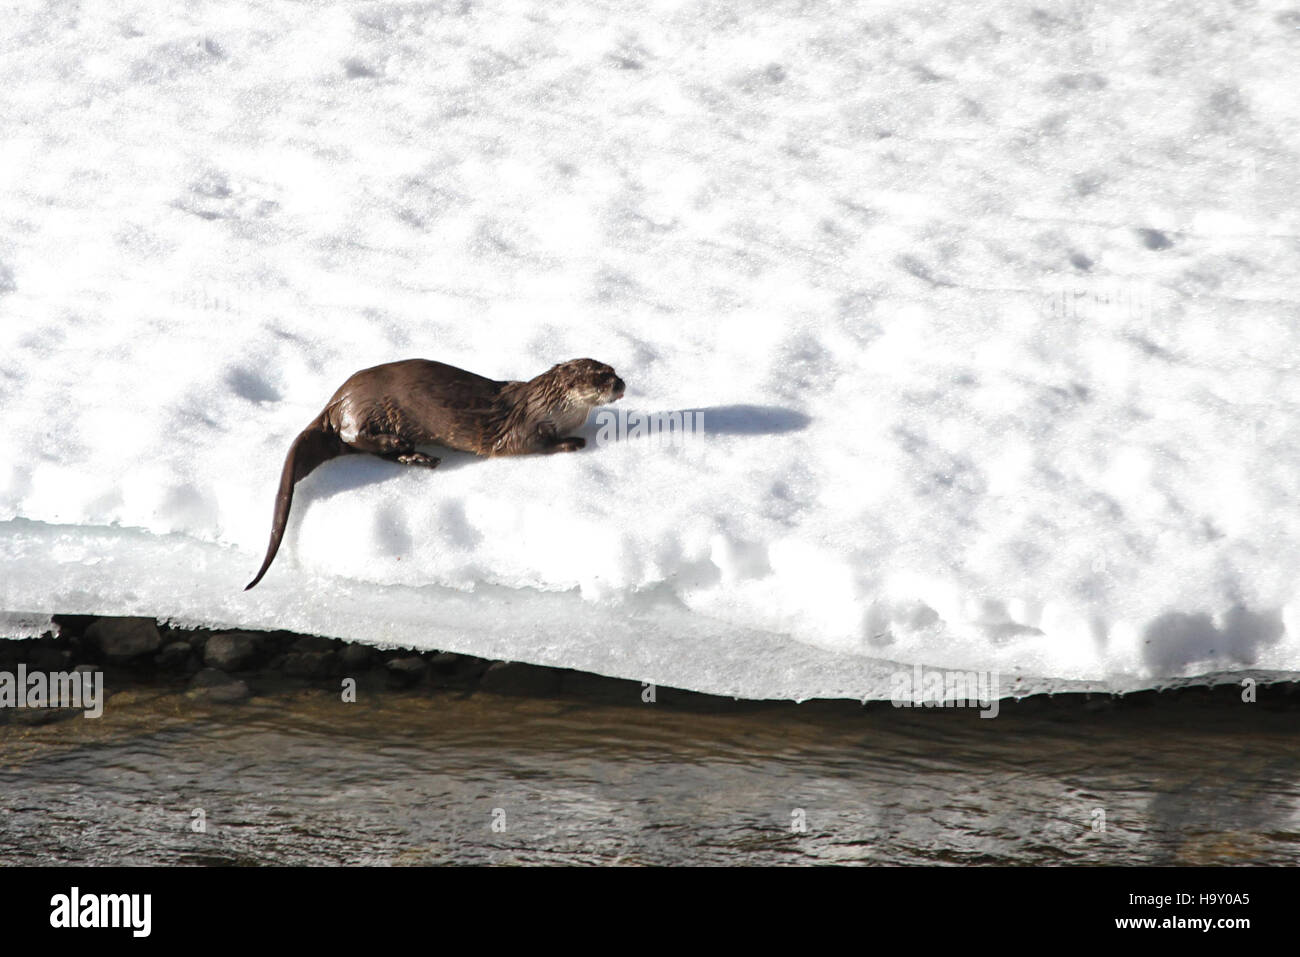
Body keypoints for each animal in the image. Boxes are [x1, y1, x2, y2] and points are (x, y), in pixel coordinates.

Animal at [244, 357, 625, 590]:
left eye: (614, 370)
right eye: (600, 377)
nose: (621, 383)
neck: (546, 406)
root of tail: (337, 398)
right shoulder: (521, 430)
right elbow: (529, 445)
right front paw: (572, 442)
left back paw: (416, 456)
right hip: (368, 407)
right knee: (352, 436)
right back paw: (402, 444)